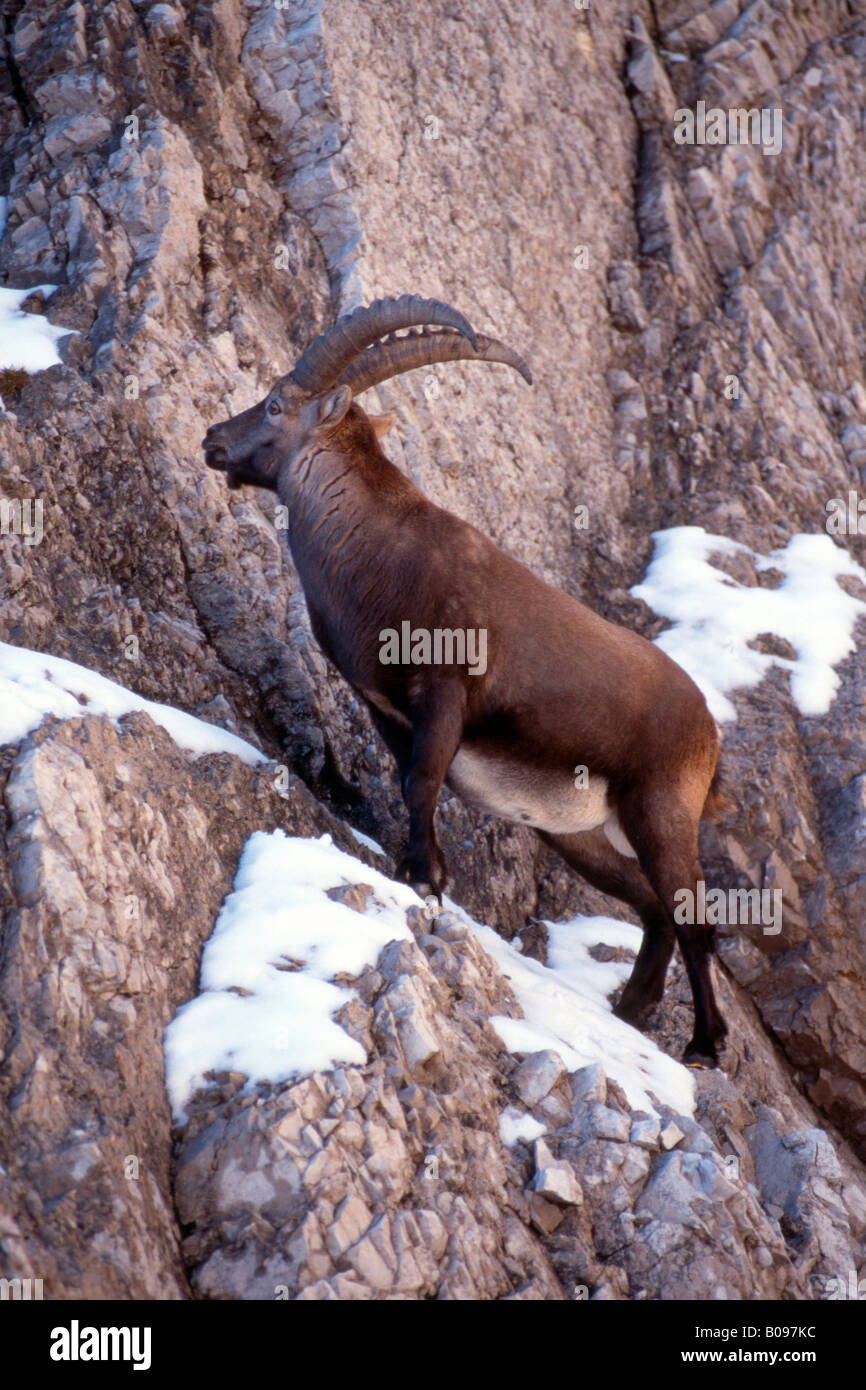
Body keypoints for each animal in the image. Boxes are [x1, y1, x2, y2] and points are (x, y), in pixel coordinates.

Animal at [203, 295, 727, 1066]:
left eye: (273, 403)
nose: (213, 438)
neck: (376, 553)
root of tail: (710, 728)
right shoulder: (385, 708)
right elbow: (408, 781)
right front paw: (422, 868)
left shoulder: (446, 692)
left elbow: (423, 782)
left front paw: (424, 878)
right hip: (579, 832)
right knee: (654, 907)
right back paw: (633, 1008)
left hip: (661, 811)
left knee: (693, 915)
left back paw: (706, 1043)